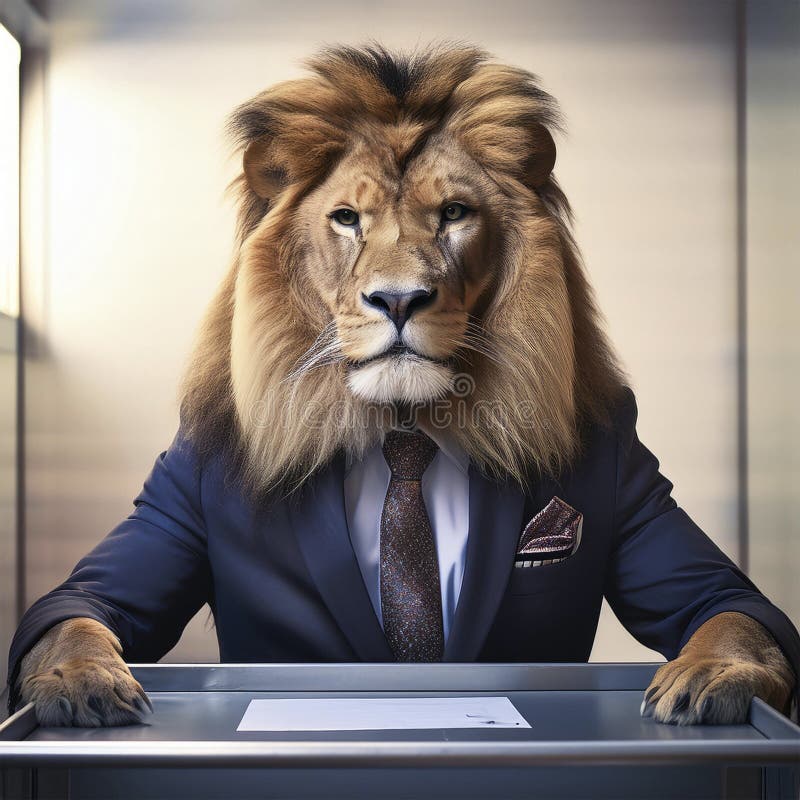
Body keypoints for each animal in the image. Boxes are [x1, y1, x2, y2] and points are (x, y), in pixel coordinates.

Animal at [13, 44, 795, 728]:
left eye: (453, 214)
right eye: (346, 219)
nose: (399, 299)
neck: (404, 422)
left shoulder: (642, 483)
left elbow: (730, 606)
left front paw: (714, 673)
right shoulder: (171, 493)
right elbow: (77, 609)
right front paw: (79, 678)